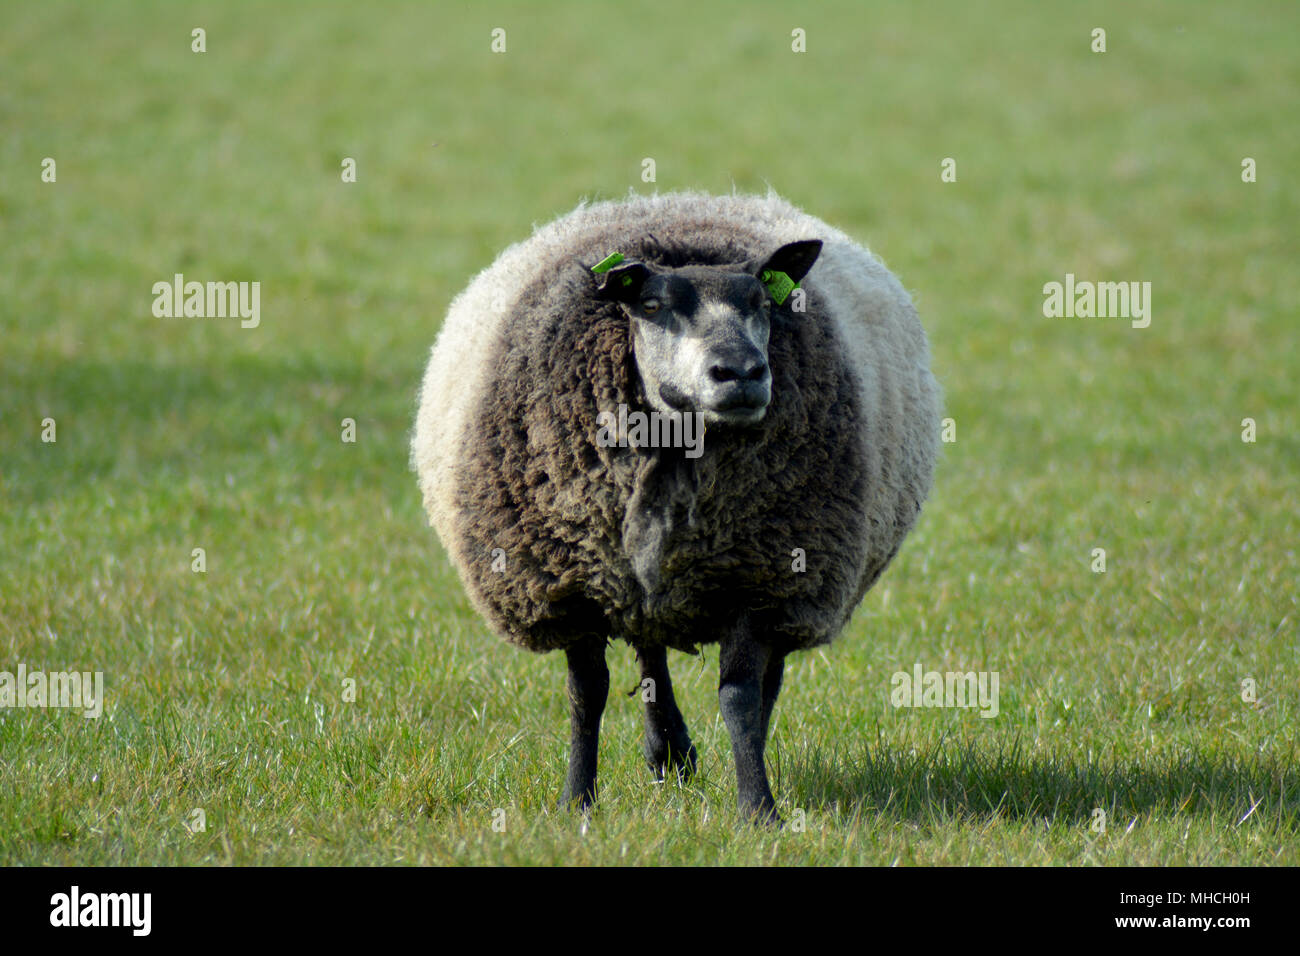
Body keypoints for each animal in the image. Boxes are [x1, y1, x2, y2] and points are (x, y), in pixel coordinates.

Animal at [412, 191, 940, 822]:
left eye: (762, 302)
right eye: (652, 304)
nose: (741, 372)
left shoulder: (757, 581)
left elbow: (740, 696)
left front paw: (757, 807)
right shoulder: (571, 586)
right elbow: (586, 694)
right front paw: (576, 801)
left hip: (790, 587)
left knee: (760, 677)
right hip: (634, 581)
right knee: (649, 653)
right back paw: (669, 753)